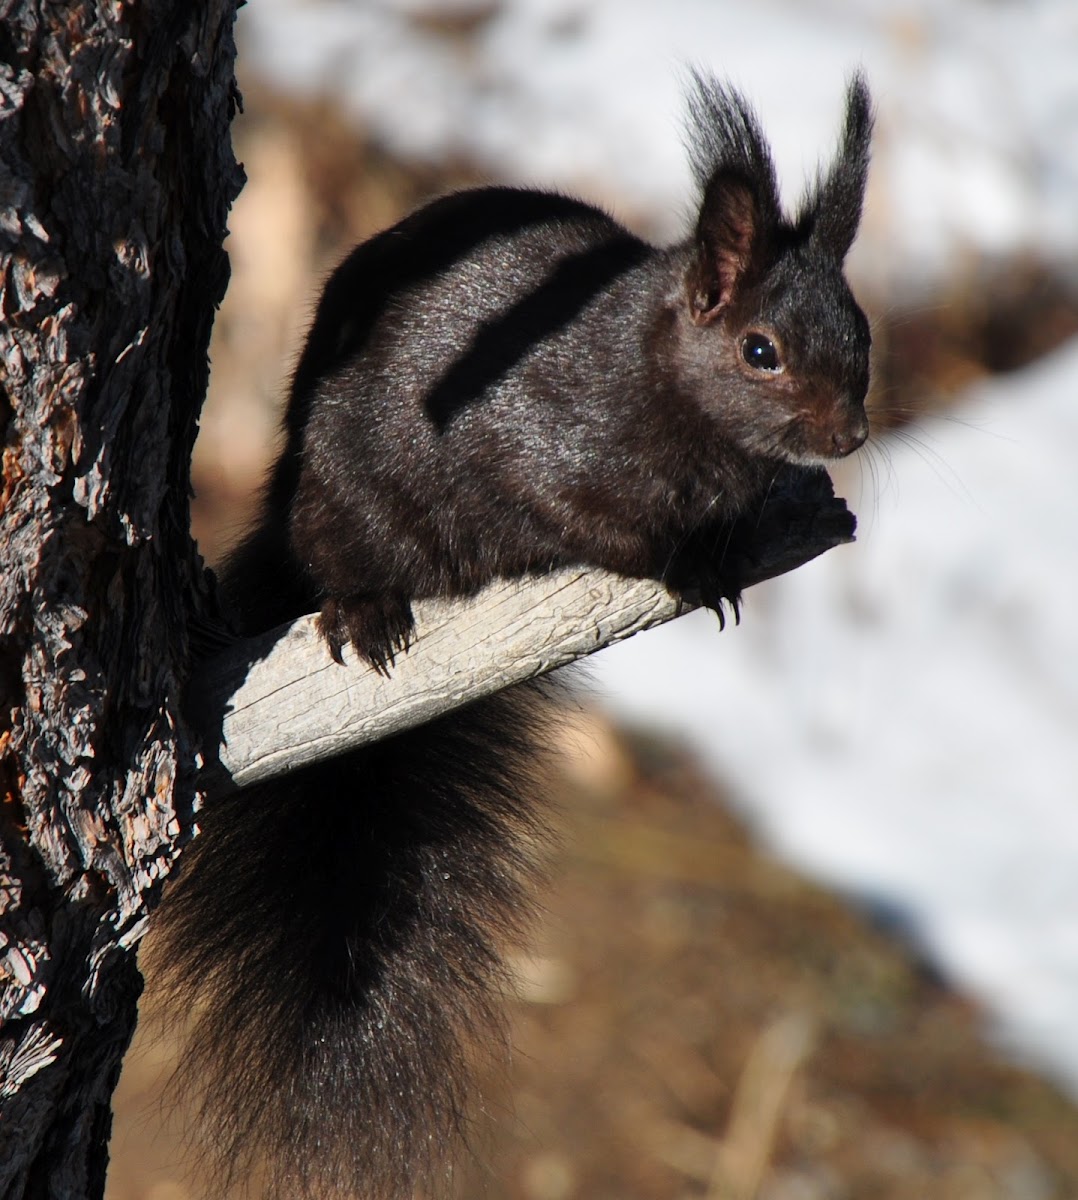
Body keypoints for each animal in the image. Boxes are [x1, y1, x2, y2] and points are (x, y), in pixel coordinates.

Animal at [149, 72, 873, 1199]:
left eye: (862, 332)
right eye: (760, 351)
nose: (850, 434)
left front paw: (722, 556)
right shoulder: (531, 437)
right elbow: (581, 514)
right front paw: (681, 563)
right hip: (340, 502)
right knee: (337, 560)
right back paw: (361, 608)